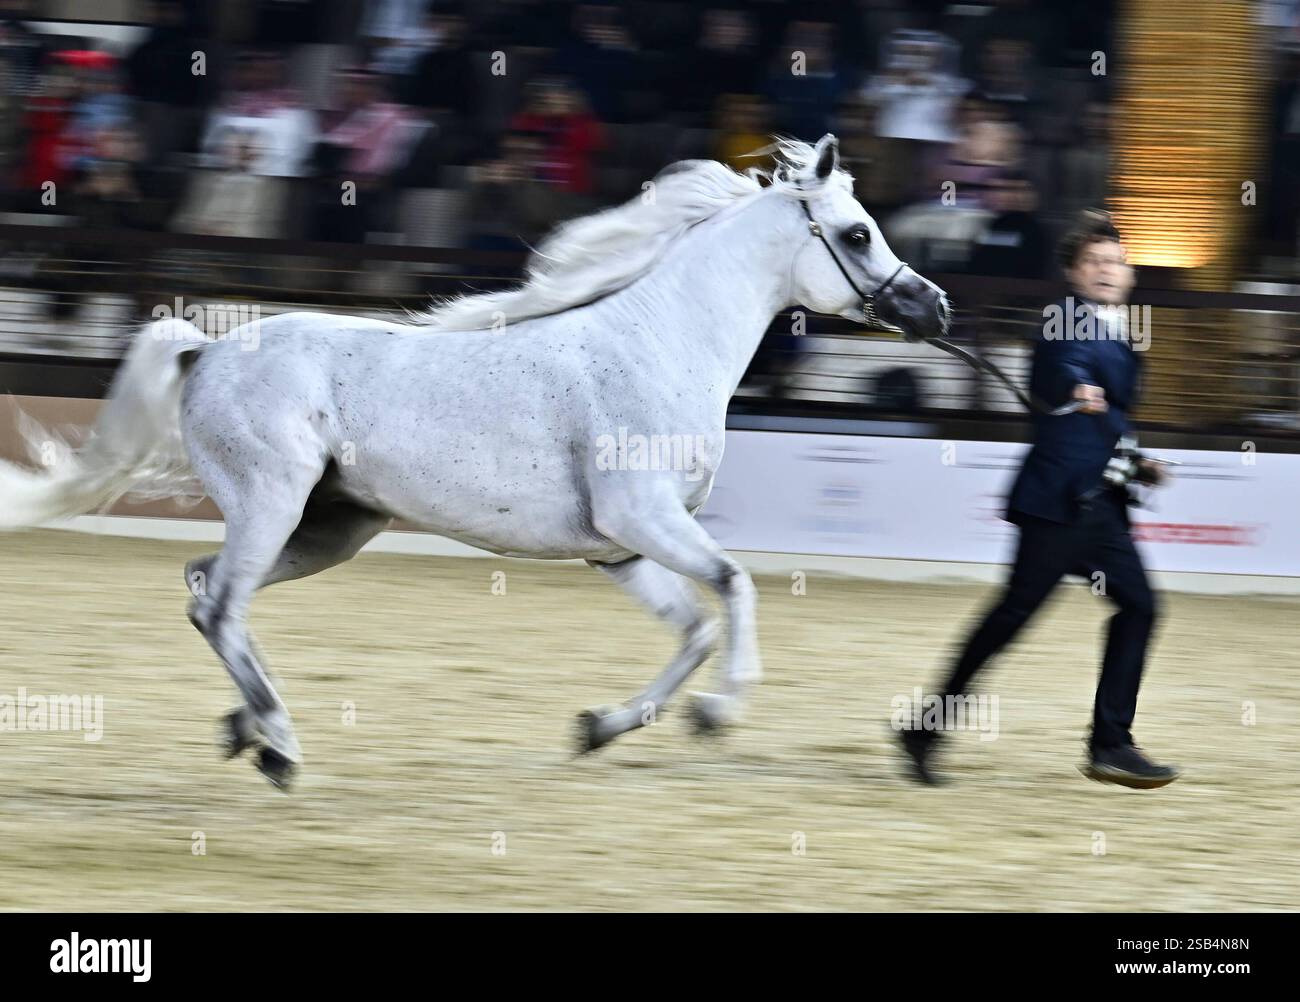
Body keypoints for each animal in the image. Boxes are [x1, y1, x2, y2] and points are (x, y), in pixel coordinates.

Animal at [0, 135, 950, 789]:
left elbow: (694, 626)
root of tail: (206, 349)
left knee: (206, 588)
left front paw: (600, 726)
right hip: (272, 505)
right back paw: (283, 746)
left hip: (325, 530)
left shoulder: (618, 548)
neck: (659, 345)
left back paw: (248, 730)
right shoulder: (642, 518)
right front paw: (722, 711)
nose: (933, 306)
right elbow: (737, 588)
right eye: (856, 234)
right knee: (221, 605)